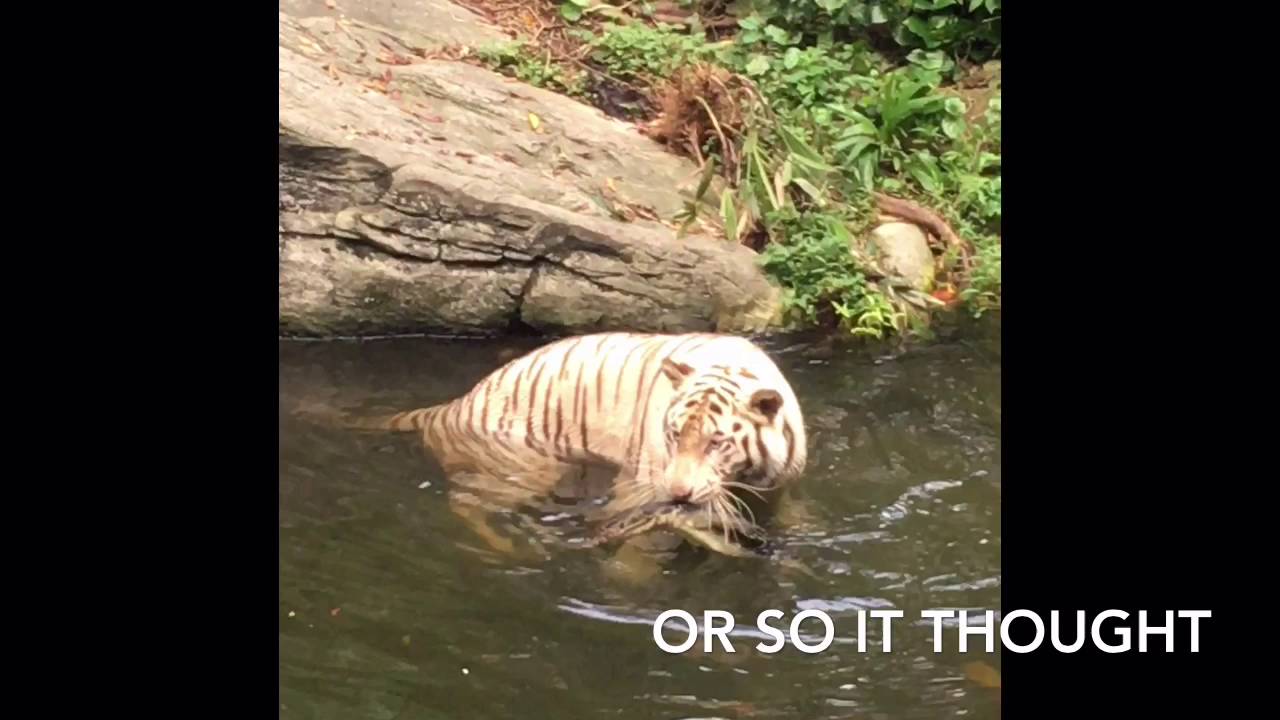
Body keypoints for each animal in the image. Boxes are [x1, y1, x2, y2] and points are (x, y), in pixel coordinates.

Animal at [351, 331, 808, 557]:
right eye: (674, 434)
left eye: (716, 442)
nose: (679, 495)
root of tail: (453, 405)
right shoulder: (641, 486)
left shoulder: (781, 486)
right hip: (528, 467)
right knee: (466, 503)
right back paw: (505, 547)